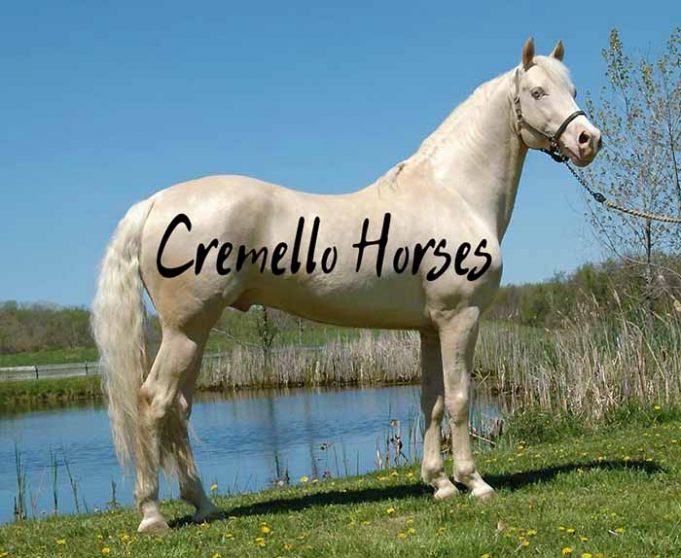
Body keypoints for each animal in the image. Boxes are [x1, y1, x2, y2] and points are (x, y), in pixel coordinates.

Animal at [92, 38, 602, 533]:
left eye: (573, 90)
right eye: (538, 93)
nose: (588, 140)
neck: (452, 194)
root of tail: (155, 202)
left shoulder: (430, 327)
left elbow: (432, 402)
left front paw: (439, 484)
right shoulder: (461, 318)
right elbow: (459, 399)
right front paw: (474, 483)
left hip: (194, 334)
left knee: (178, 409)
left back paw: (203, 506)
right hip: (186, 330)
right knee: (154, 402)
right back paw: (152, 515)